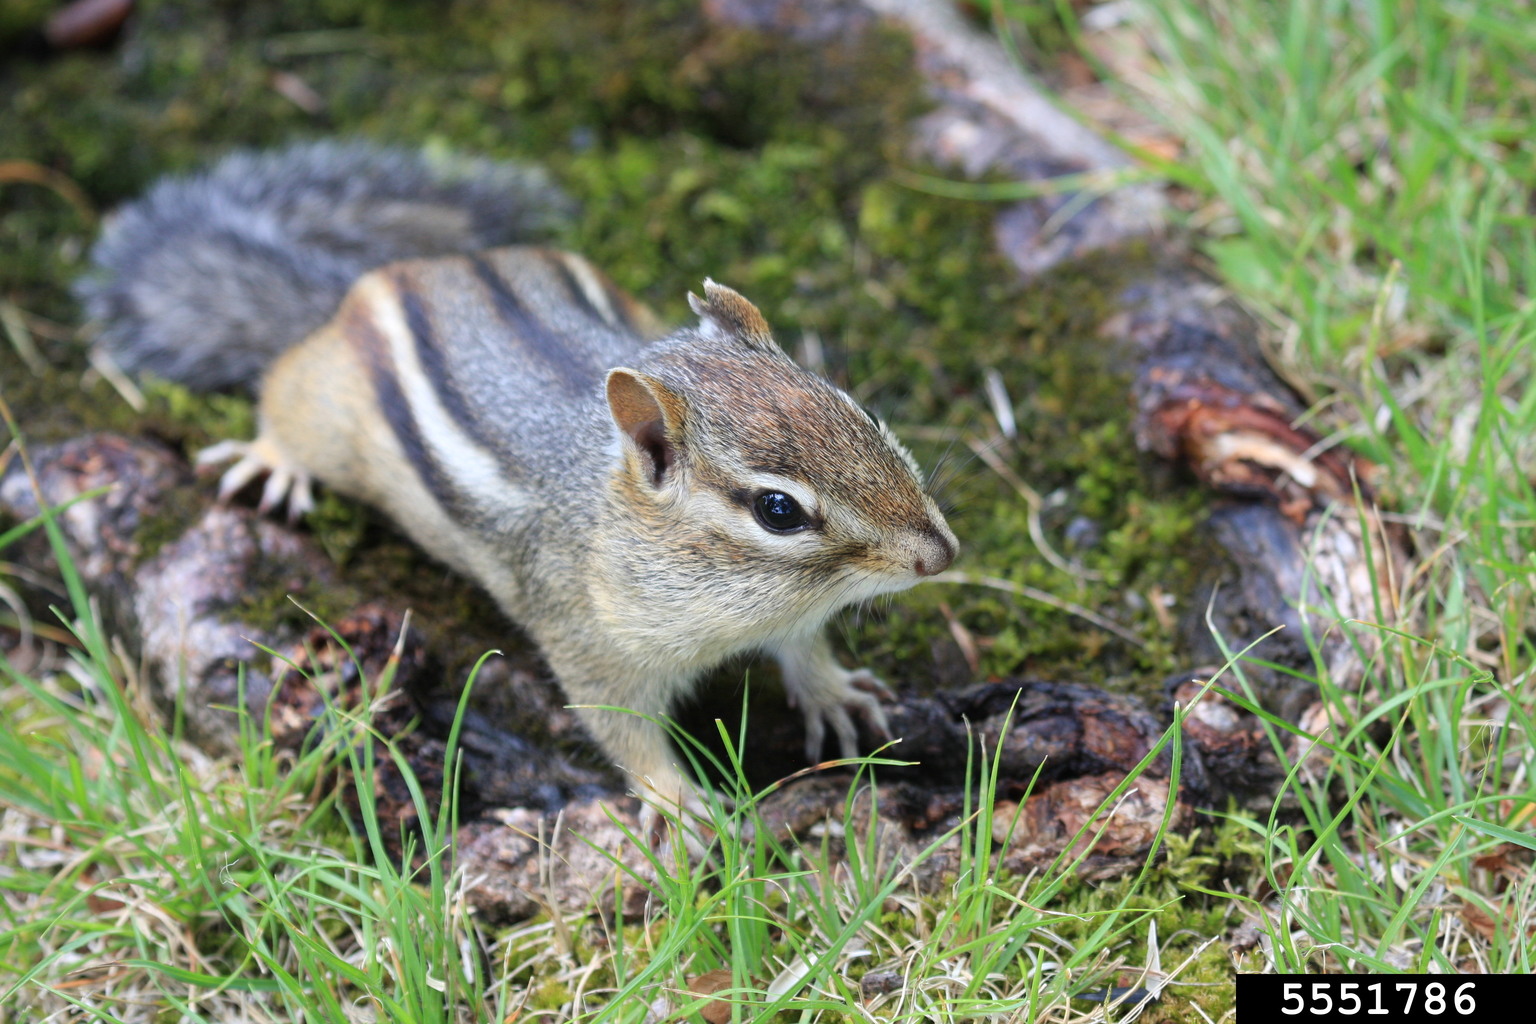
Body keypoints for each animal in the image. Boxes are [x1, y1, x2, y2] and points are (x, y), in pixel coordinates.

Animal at [78, 141, 958, 834]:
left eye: (859, 411)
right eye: (779, 510)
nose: (941, 555)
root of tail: (361, 283)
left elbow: (805, 646)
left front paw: (833, 692)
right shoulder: (589, 641)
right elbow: (620, 730)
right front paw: (676, 801)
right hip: (323, 404)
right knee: (282, 390)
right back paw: (274, 457)